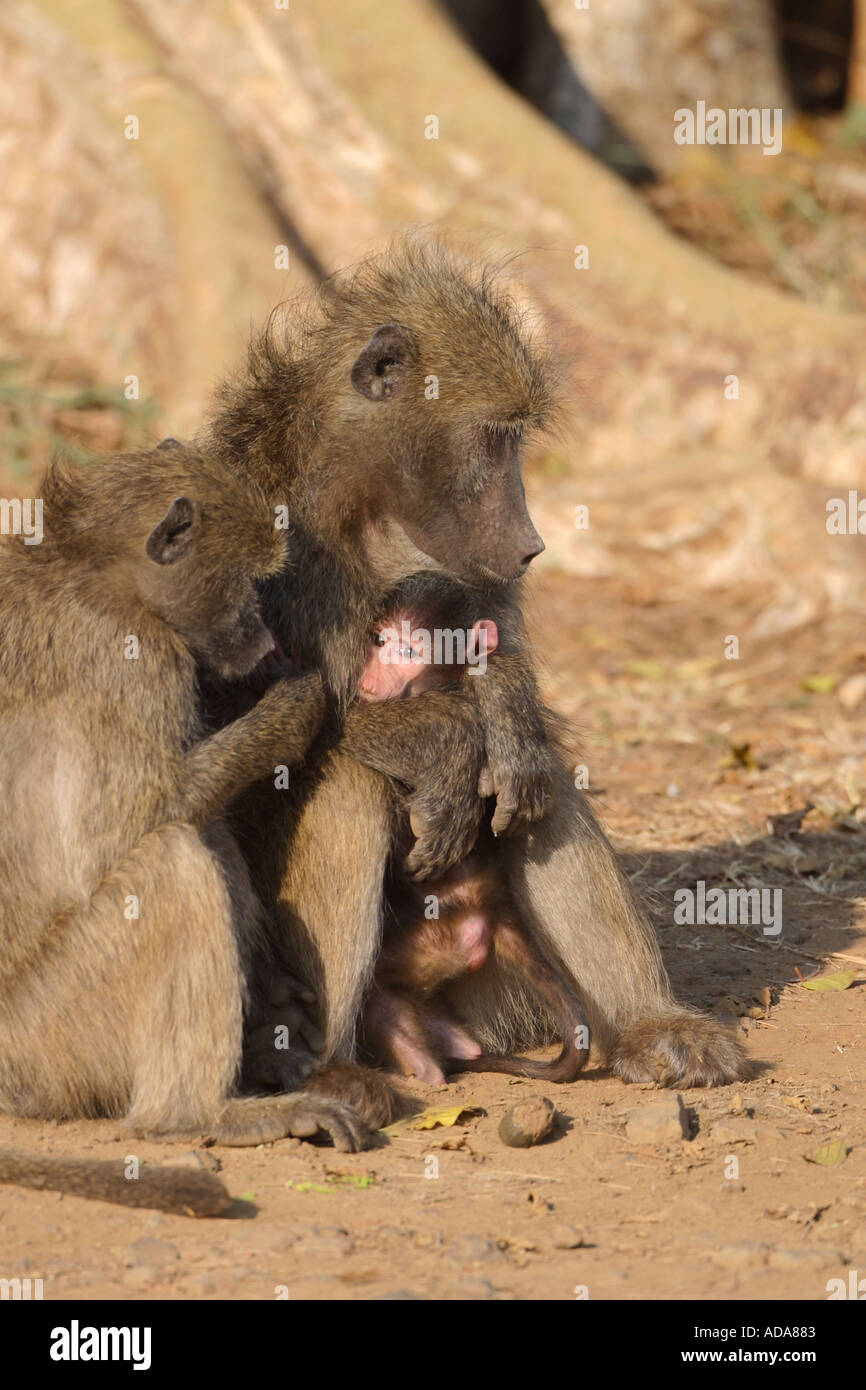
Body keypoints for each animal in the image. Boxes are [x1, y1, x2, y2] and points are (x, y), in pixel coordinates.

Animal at [0, 442, 385, 1217]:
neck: (91, 561)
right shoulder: (132, 657)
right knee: (170, 864)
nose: (266, 638)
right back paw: (201, 1116)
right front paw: (296, 706)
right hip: (46, 1035)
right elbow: (139, 820)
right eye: (249, 583)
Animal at [357, 572, 588, 1085]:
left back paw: (422, 1065)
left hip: (430, 945)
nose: (367, 679)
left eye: (409, 651)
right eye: (379, 640)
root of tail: (493, 905)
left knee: (379, 992)